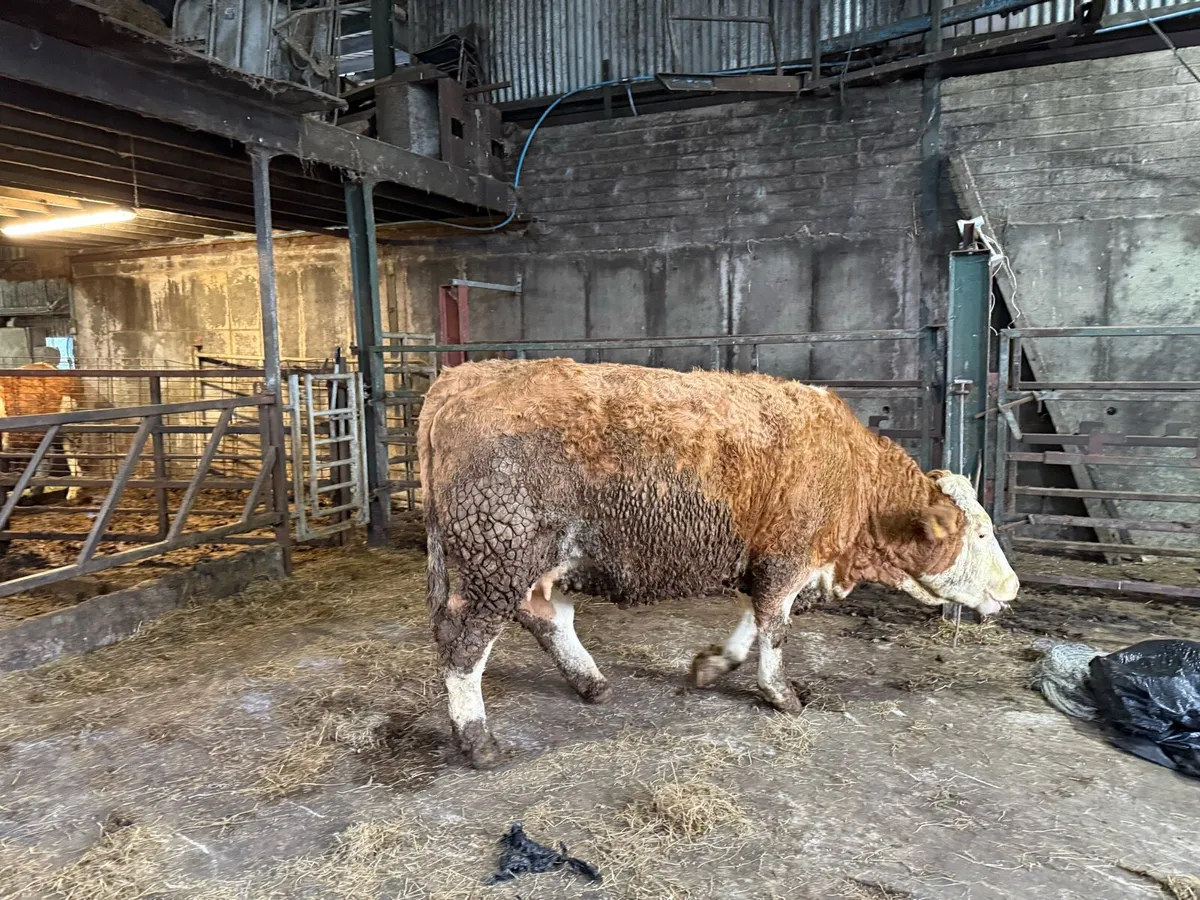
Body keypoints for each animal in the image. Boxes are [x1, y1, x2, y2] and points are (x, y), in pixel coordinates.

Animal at [418, 358, 1019, 768]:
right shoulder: (787, 559)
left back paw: (591, 684)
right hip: (497, 554)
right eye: (981, 531)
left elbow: (754, 621)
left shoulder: (772, 563)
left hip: (531, 562)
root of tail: (463, 377)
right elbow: (775, 629)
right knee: (464, 645)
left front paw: (714, 665)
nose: (1013, 587)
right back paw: (477, 739)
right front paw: (781, 695)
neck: (856, 478)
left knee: (545, 617)